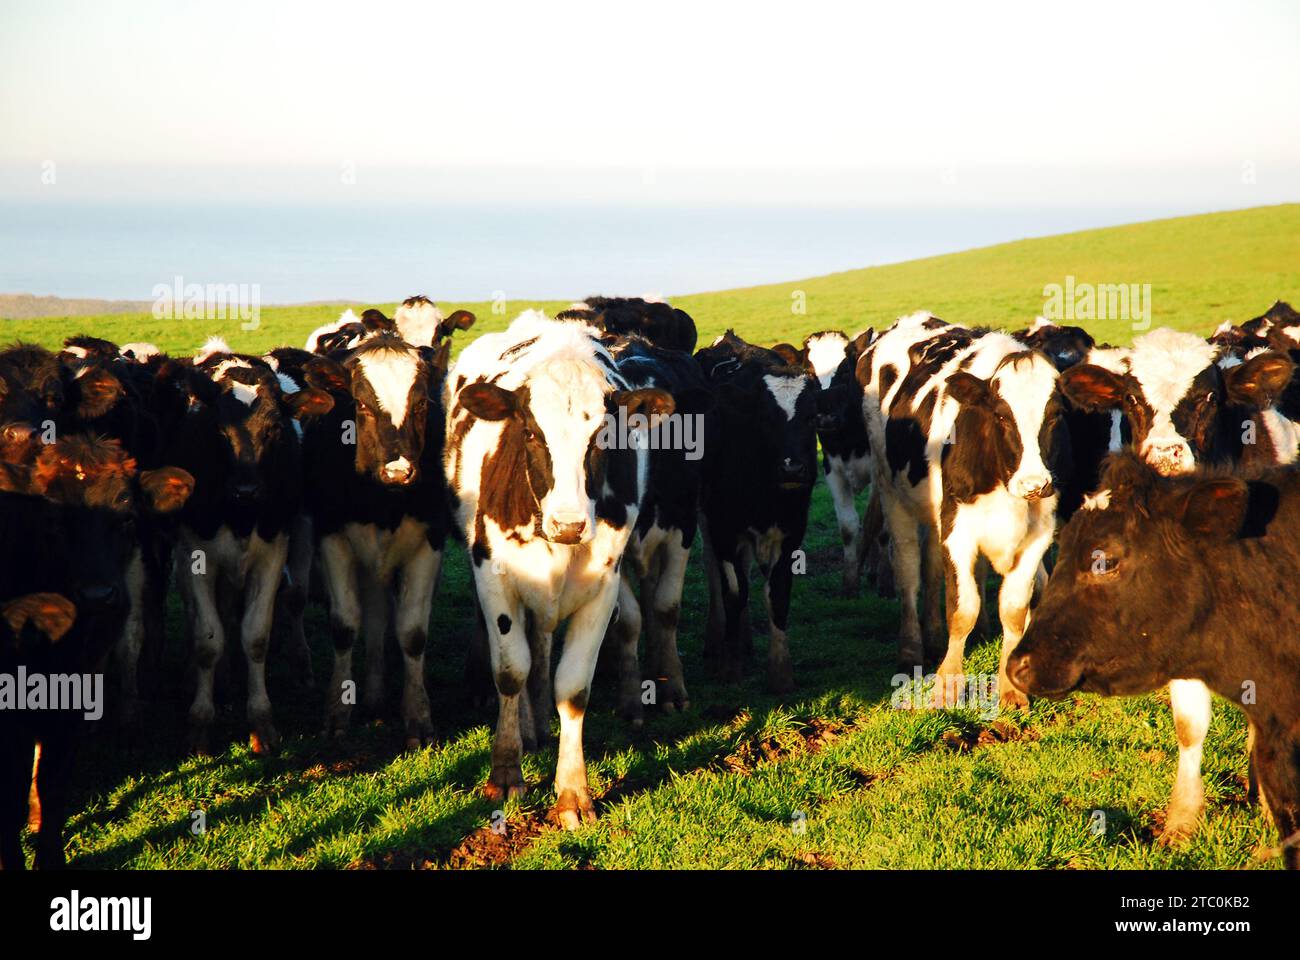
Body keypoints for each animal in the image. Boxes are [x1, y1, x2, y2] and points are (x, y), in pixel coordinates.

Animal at [155, 341, 332, 754]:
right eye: (218, 430)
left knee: (294, 598)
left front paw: (261, 723)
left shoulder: (272, 550)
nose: (246, 490)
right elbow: (208, 637)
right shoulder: (195, 553)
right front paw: (200, 724)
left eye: (274, 428)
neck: (239, 514)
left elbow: (255, 636)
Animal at [444, 310, 670, 826]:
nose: (568, 524)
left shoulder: (603, 586)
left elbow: (573, 686)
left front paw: (572, 793)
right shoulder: (495, 576)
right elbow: (511, 670)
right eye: (529, 432)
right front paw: (506, 772)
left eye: (604, 436)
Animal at [693, 330, 819, 692]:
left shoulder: (792, 530)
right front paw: (729, 665)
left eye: (813, 416)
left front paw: (780, 673)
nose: (793, 468)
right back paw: (718, 640)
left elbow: (776, 592)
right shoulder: (723, 526)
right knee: (715, 572)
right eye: (765, 418)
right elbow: (735, 591)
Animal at [860, 312, 1071, 705]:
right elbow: (962, 607)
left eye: (1055, 415)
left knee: (931, 568)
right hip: (892, 493)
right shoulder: (958, 531)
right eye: (1001, 416)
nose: (1034, 484)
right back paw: (911, 647)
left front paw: (1010, 688)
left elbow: (1014, 609)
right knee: (909, 570)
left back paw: (933, 634)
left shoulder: (1039, 536)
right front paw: (946, 685)